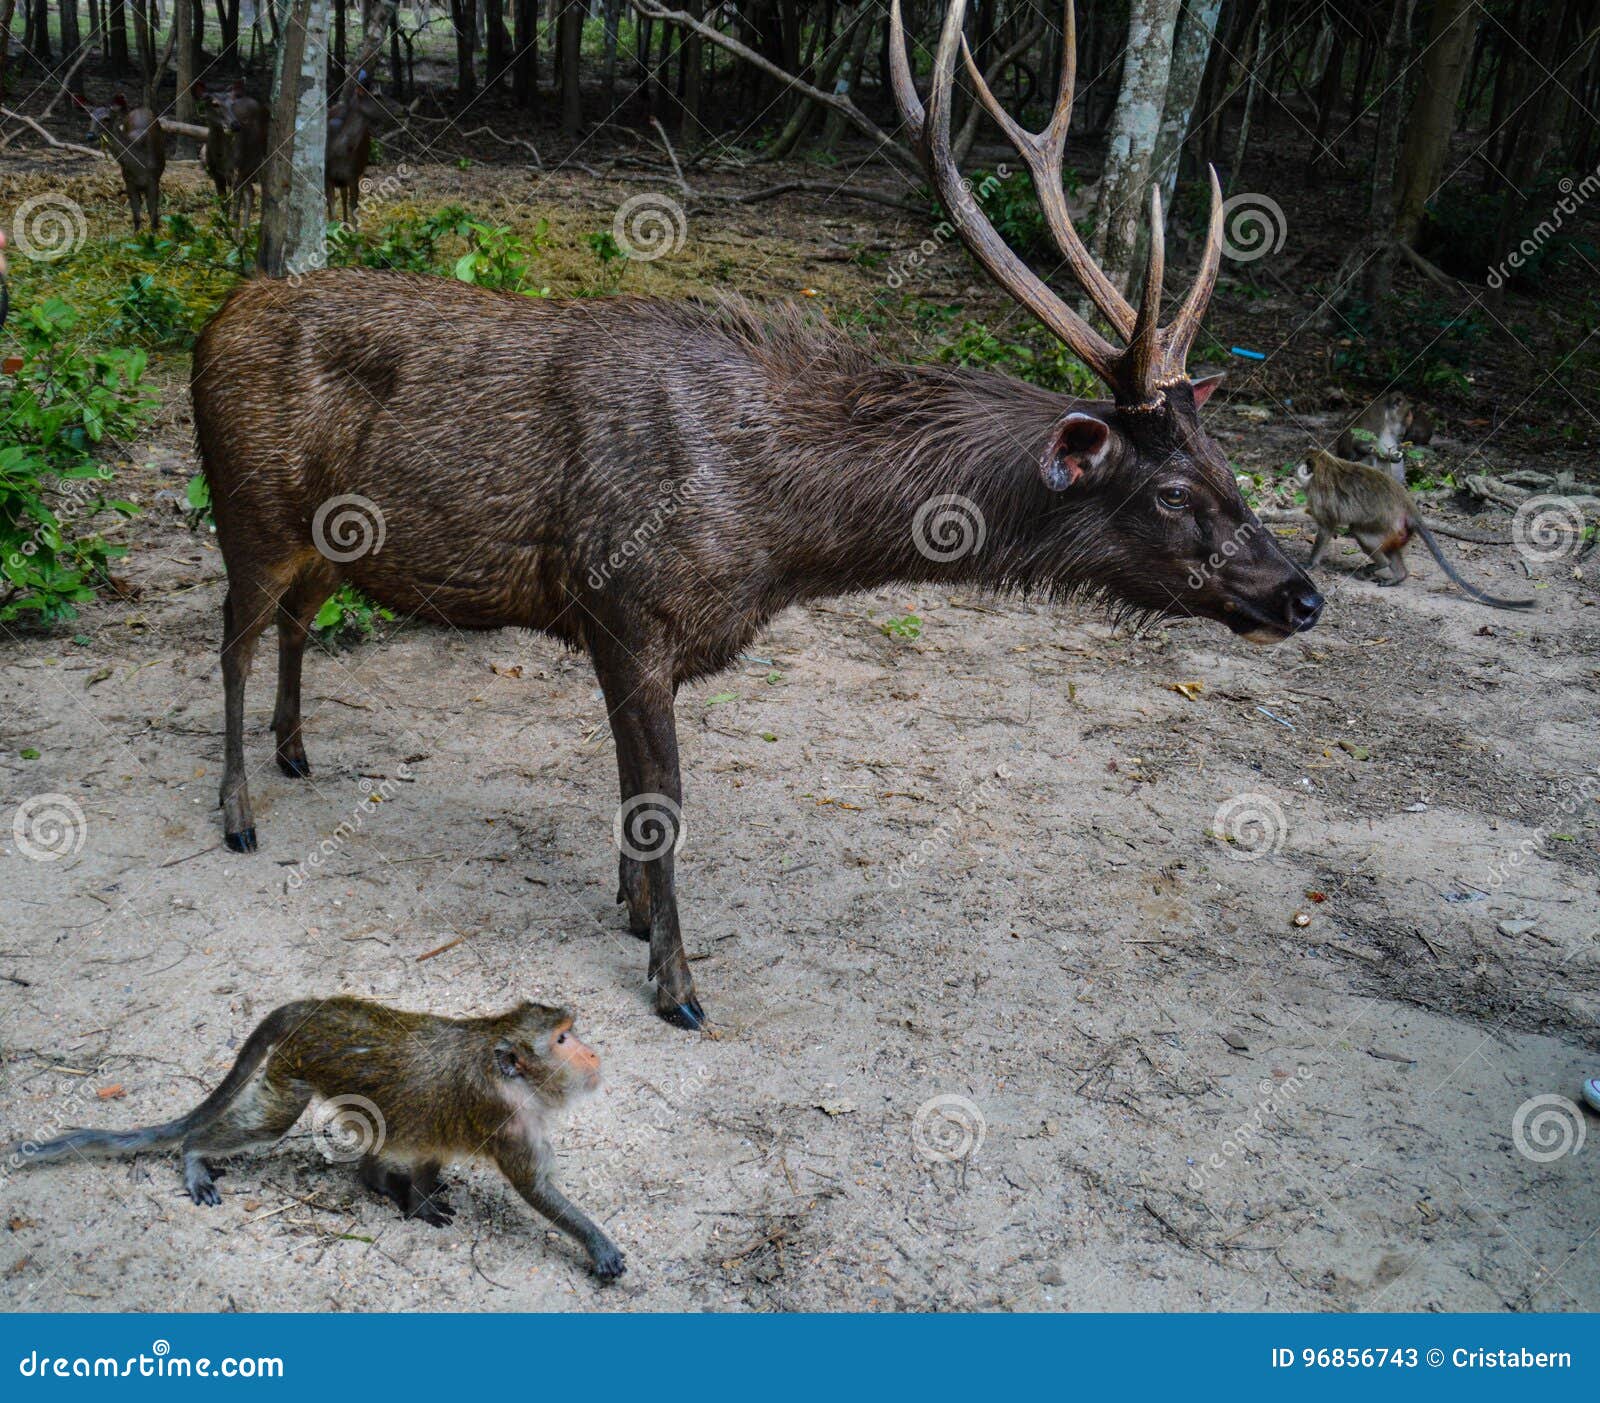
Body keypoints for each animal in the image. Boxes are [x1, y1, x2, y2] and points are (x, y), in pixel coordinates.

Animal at [3, 998, 625, 1279]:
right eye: (563, 1039)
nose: (594, 1053)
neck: (501, 1061)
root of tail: (321, 1005)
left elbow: (432, 1152)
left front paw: (418, 1199)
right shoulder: (505, 1116)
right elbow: (535, 1189)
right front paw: (596, 1243)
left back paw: (377, 1180)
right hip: (298, 1066)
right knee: (271, 1121)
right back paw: (193, 1154)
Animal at [80, 94, 165, 233]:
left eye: (107, 118)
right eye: (90, 117)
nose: (90, 135)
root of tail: (141, 107)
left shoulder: (153, 180)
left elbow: (153, 215)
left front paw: (154, 236)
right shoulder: (128, 181)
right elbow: (136, 215)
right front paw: (135, 235)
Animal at [197, 80, 269, 231]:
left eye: (232, 104)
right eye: (214, 104)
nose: (235, 125)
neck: (221, 157)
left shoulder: (237, 171)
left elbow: (235, 212)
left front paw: (232, 233)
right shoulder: (216, 176)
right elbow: (224, 207)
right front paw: (224, 232)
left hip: (260, 160)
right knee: (251, 193)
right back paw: (245, 231)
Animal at [1298, 450, 1533, 611]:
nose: (1293, 467)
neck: (1325, 465)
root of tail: (1409, 507)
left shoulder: (1320, 497)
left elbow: (1327, 527)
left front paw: (1310, 563)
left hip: (1385, 526)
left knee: (1359, 532)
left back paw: (1381, 565)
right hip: (1398, 532)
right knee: (1389, 547)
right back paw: (1398, 576)